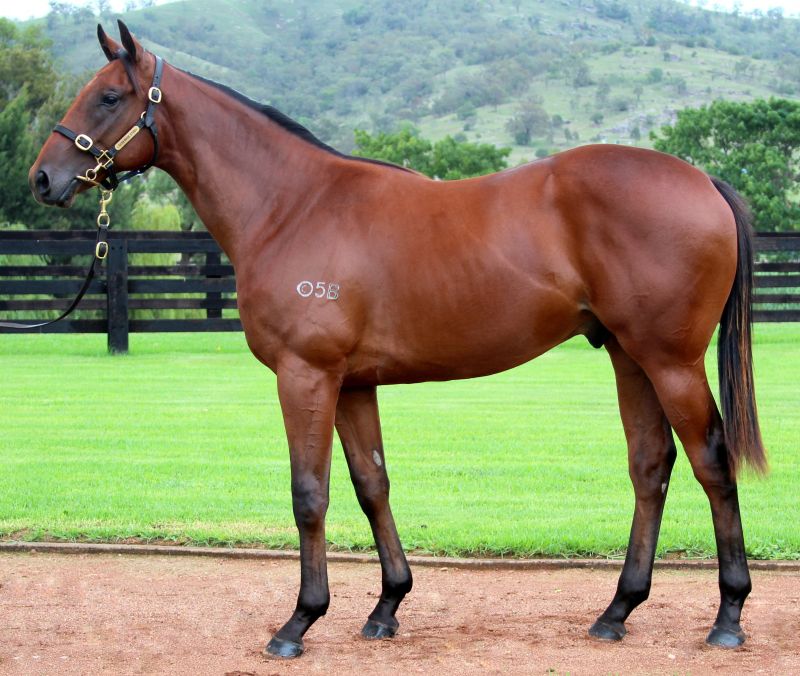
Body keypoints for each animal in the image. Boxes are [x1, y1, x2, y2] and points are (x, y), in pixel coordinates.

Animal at [29, 21, 766, 658]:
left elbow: (310, 493)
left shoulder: (306, 375)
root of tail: (702, 180)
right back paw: (617, 611)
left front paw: (299, 621)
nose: (43, 178)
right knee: (651, 466)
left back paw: (728, 616)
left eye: (110, 96)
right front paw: (387, 605)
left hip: (670, 360)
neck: (293, 205)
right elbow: (370, 484)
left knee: (710, 461)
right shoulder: (354, 384)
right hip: (626, 355)